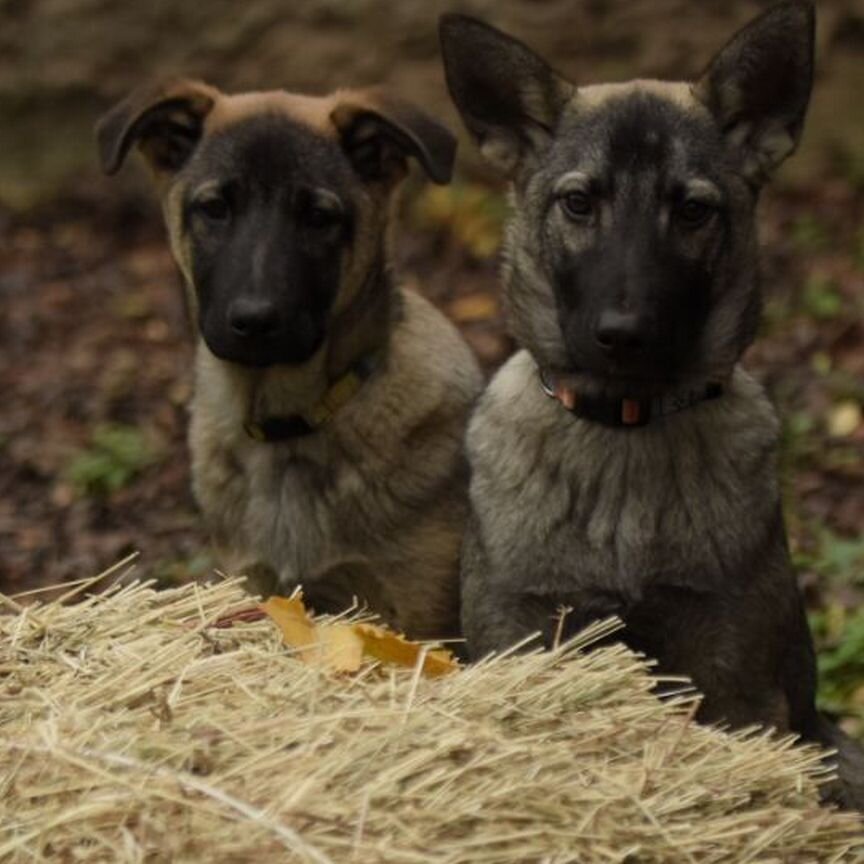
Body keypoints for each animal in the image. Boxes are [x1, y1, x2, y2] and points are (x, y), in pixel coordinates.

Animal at [442, 3, 860, 808]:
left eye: (692, 211)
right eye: (579, 203)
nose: (624, 335)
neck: (626, 433)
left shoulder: (735, 684)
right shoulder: (521, 631)